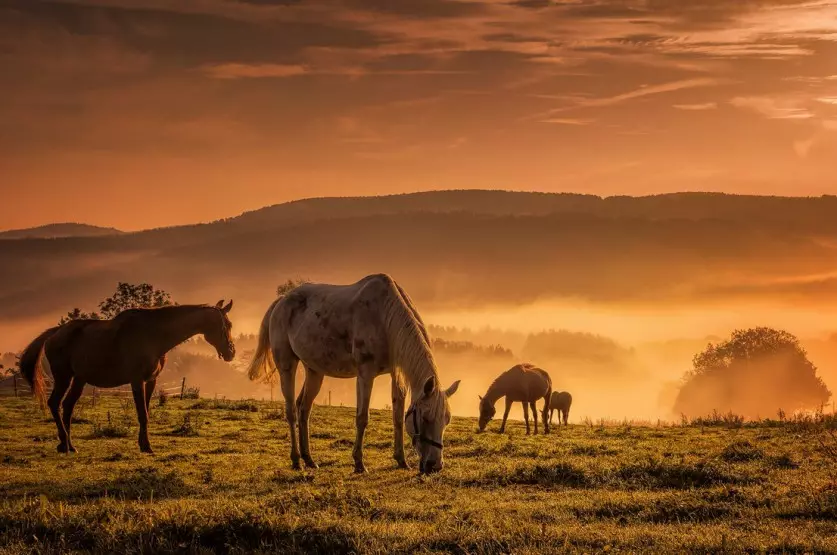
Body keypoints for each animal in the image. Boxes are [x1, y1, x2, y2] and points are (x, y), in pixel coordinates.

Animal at [19, 302, 235, 454]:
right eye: (225, 325)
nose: (231, 352)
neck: (154, 335)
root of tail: (56, 332)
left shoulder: (150, 381)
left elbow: (146, 412)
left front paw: (143, 443)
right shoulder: (137, 380)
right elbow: (142, 414)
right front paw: (146, 446)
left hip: (79, 379)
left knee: (67, 407)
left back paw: (69, 445)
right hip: (63, 377)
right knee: (55, 403)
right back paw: (64, 444)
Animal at [245, 274, 460, 474]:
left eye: (446, 420)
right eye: (425, 418)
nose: (435, 465)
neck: (384, 318)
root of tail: (281, 301)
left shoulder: (396, 374)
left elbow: (398, 417)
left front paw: (401, 460)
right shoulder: (365, 374)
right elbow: (362, 417)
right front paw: (359, 463)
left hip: (314, 371)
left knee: (304, 409)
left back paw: (309, 459)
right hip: (287, 367)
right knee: (291, 411)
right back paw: (297, 460)